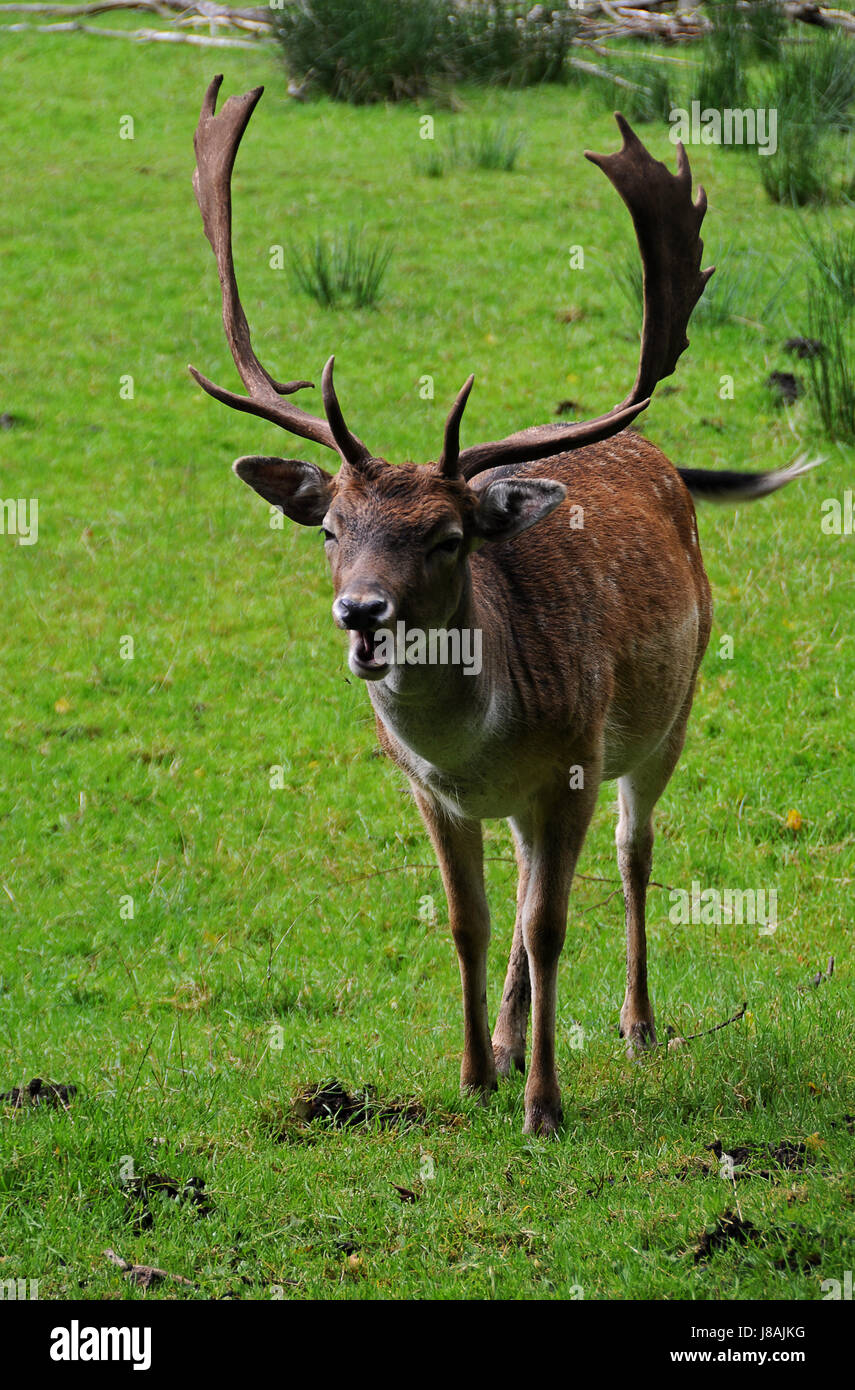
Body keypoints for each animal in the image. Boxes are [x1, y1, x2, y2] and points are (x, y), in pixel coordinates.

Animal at [190, 76, 818, 1136]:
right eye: (330, 530)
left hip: (667, 715)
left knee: (633, 853)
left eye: (449, 537)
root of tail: (652, 450)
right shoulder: (431, 793)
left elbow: (552, 924)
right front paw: (475, 1075)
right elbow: (472, 923)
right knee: (526, 897)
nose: (361, 612)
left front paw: (543, 1108)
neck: (475, 746)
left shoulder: (568, 768)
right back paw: (508, 1036)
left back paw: (636, 1024)